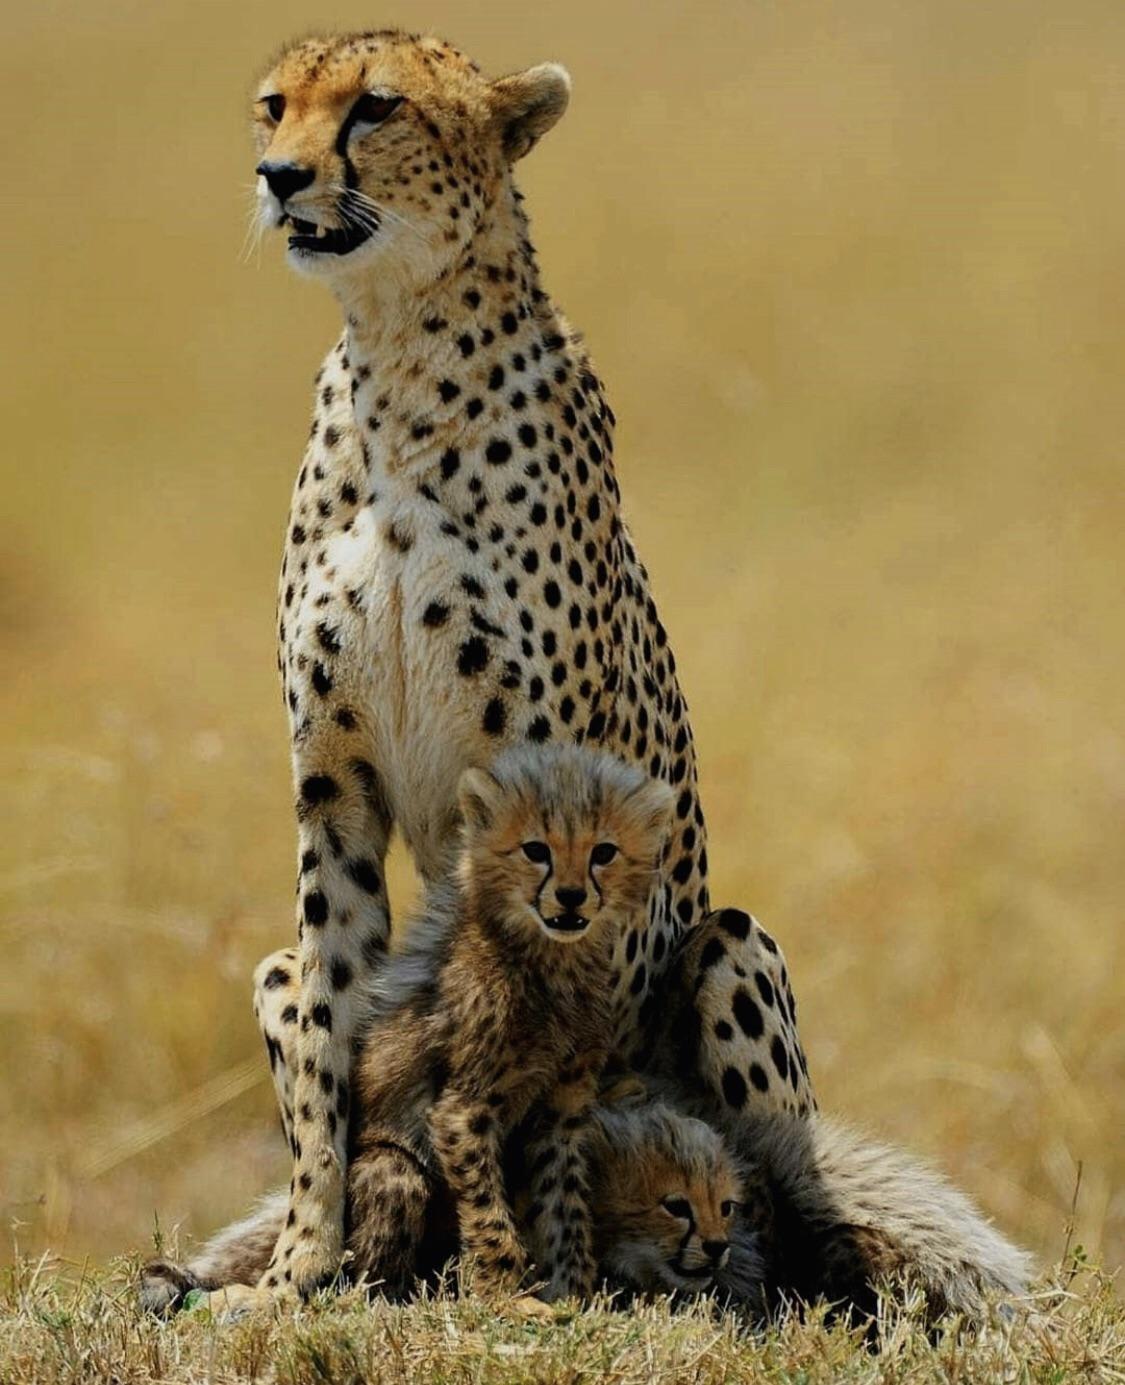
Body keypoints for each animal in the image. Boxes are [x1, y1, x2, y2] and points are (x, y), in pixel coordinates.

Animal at [244, 25, 814, 1297]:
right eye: (272, 106)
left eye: (376, 107)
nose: (280, 177)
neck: (396, 360)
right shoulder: (332, 782)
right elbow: (334, 1036)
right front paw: (305, 1261)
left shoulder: (534, 779)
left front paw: (537, 1265)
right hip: (271, 966)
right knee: (293, 982)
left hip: (729, 946)